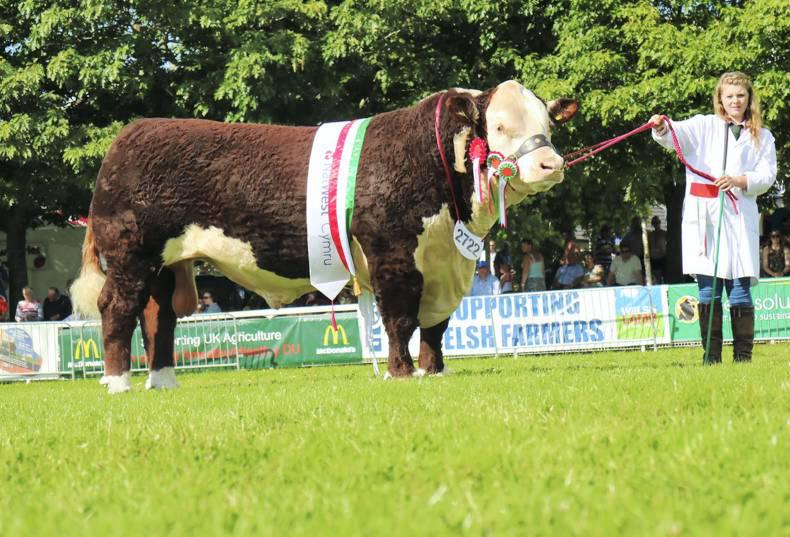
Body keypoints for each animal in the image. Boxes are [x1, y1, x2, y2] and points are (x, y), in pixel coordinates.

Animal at [71, 80, 578, 393]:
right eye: (499, 126)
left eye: (548, 125)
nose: (551, 164)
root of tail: (131, 133)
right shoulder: (392, 254)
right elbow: (400, 319)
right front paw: (401, 373)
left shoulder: (446, 263)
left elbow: (437, 326)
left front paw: (435, 371)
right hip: (131, 251)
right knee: (117, 307)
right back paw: (117, 382)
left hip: (166, 261)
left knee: (159, 315)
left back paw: (163, 381)